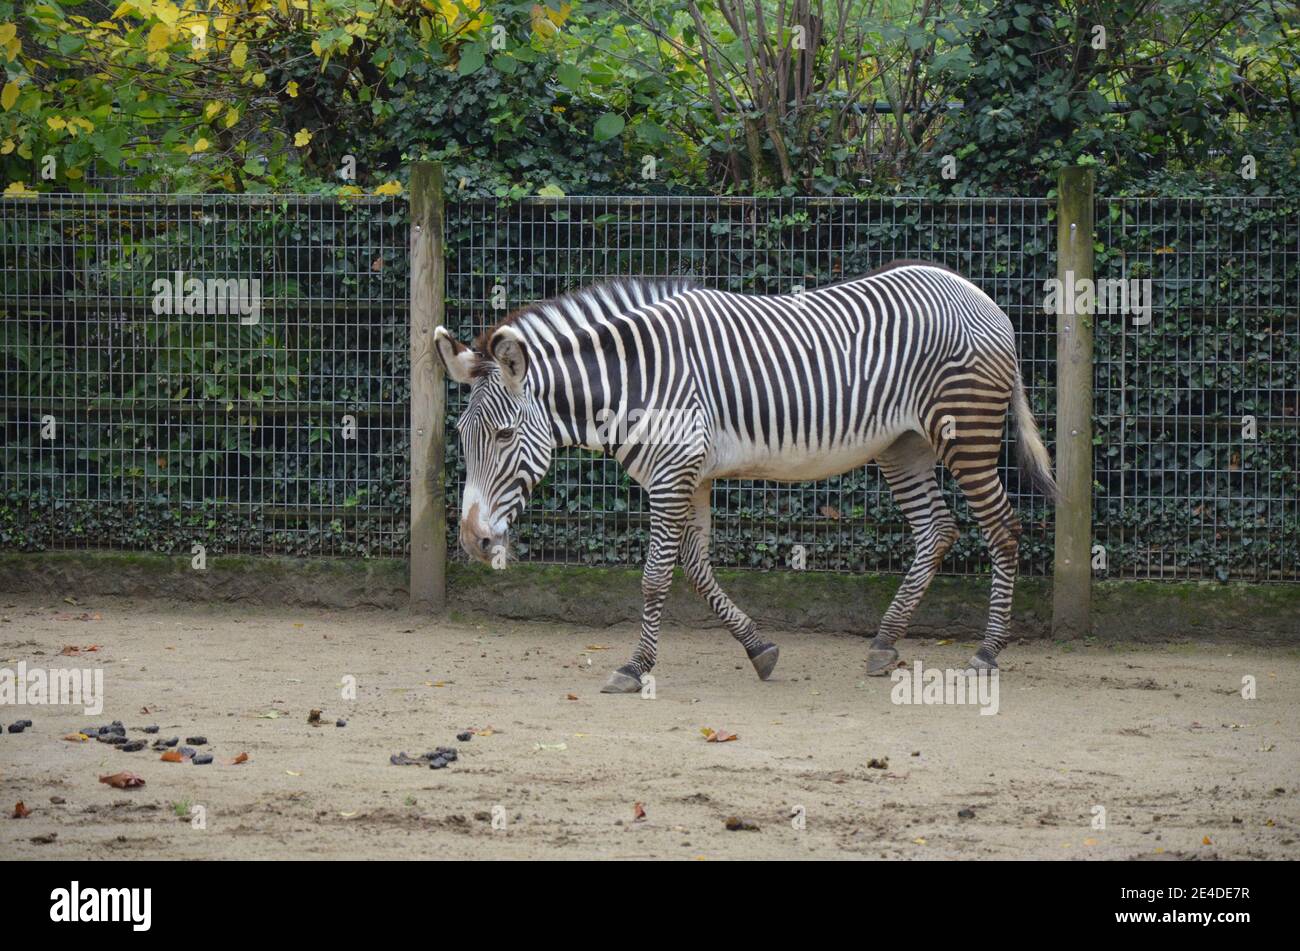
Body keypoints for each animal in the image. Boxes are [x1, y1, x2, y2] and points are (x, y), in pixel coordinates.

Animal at [434, 262, 1056, 693]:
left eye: (504, 437)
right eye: (462, 434)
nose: (471, 541)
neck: (635, 383)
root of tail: (981, 296)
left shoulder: (673, 474)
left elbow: (655, 578)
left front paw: (634, 668)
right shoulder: (691, 476)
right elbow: (696, 570)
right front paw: (760, 649)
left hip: (965, 433)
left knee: (1003, 530)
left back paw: (986, 653)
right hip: (903, 446)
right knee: (938, 531)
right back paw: (884, 644)